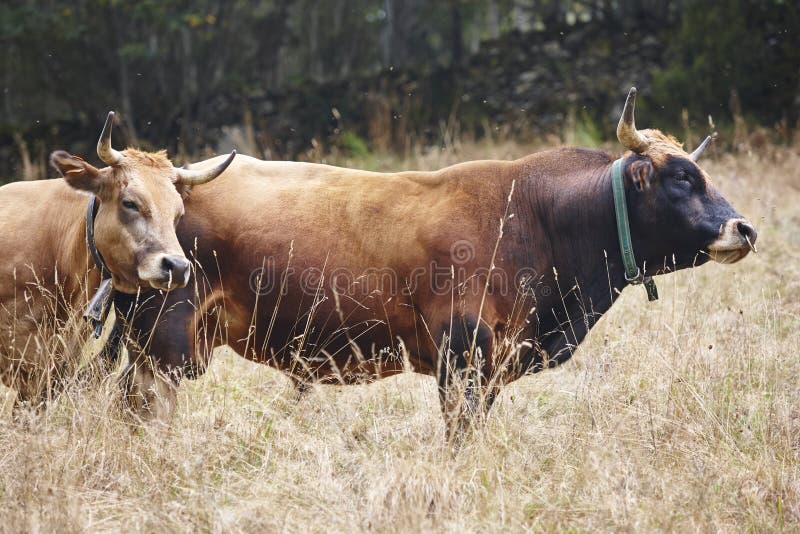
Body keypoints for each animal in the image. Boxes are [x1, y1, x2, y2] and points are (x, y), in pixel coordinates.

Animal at [113, 89, 757, 440]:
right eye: (682, 177)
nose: (744, 228)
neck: (537, 215)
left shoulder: (494, 363)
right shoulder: (462, 354)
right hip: (165, 341)